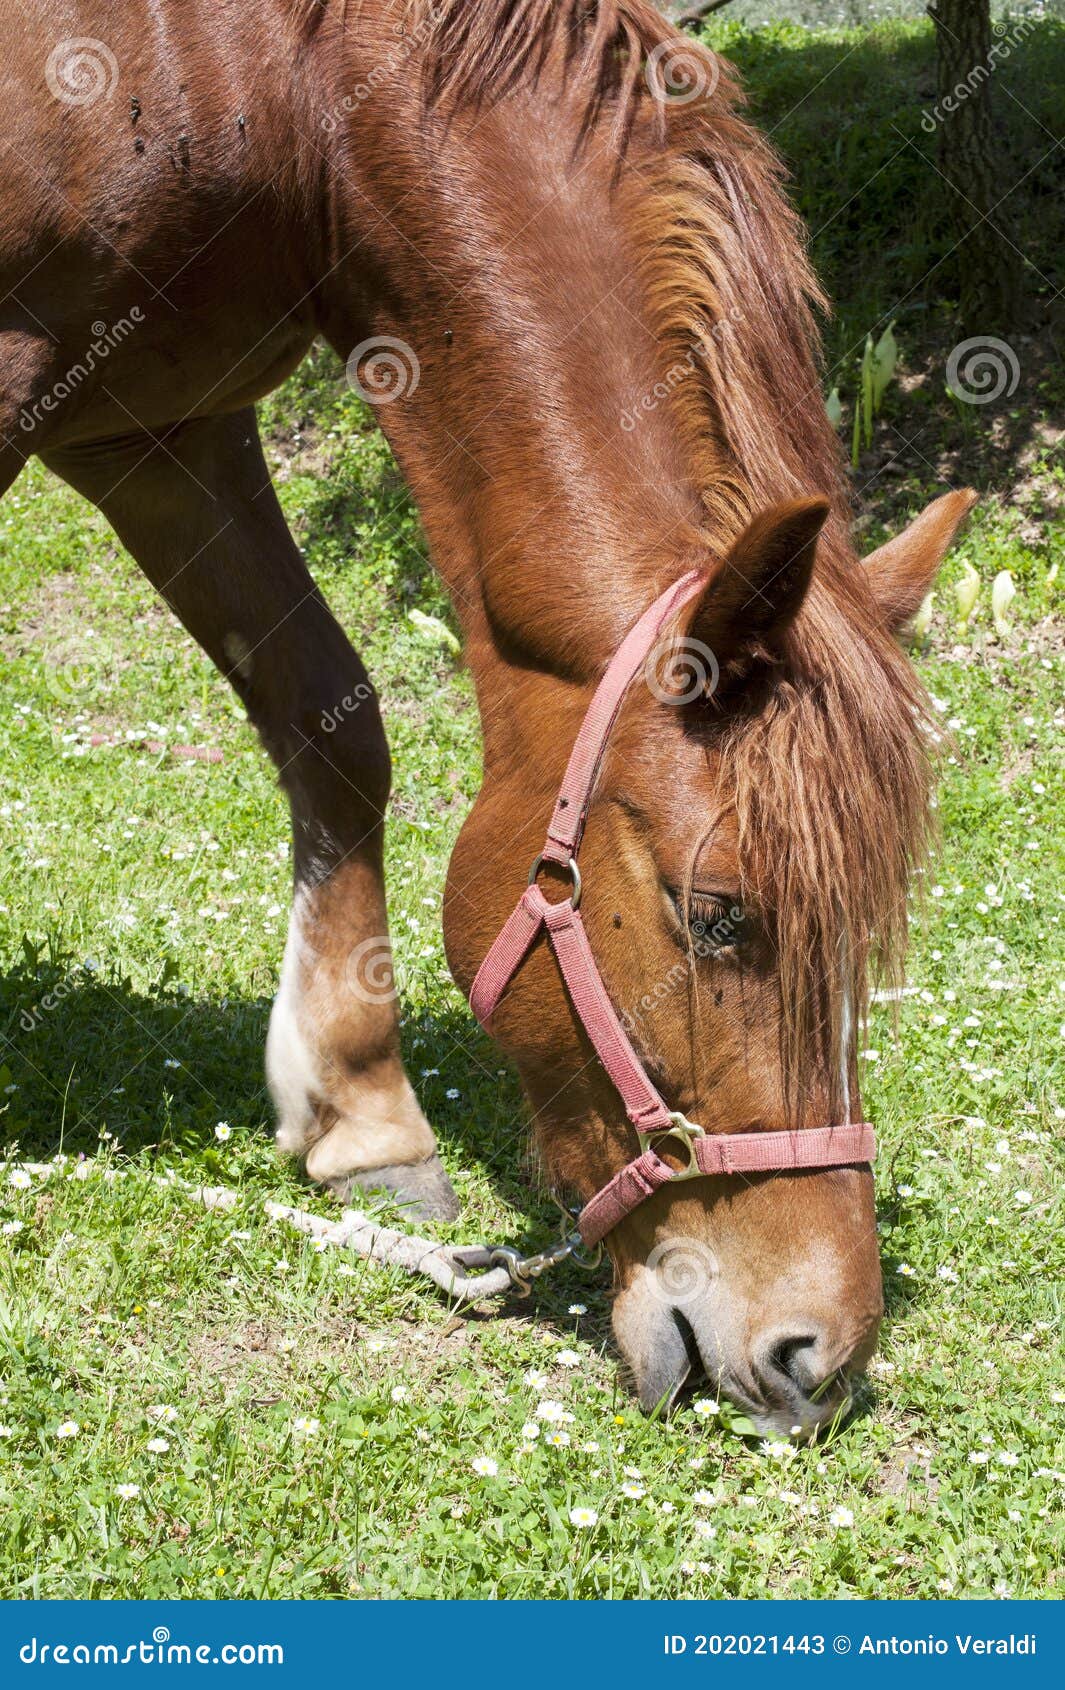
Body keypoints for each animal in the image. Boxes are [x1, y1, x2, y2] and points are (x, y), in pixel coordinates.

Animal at [1, 0, 974, 1434]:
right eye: (718, 914)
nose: (819, 1354)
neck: (276, 79)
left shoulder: (160, 422)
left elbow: (332, 728)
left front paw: (362, 1117)